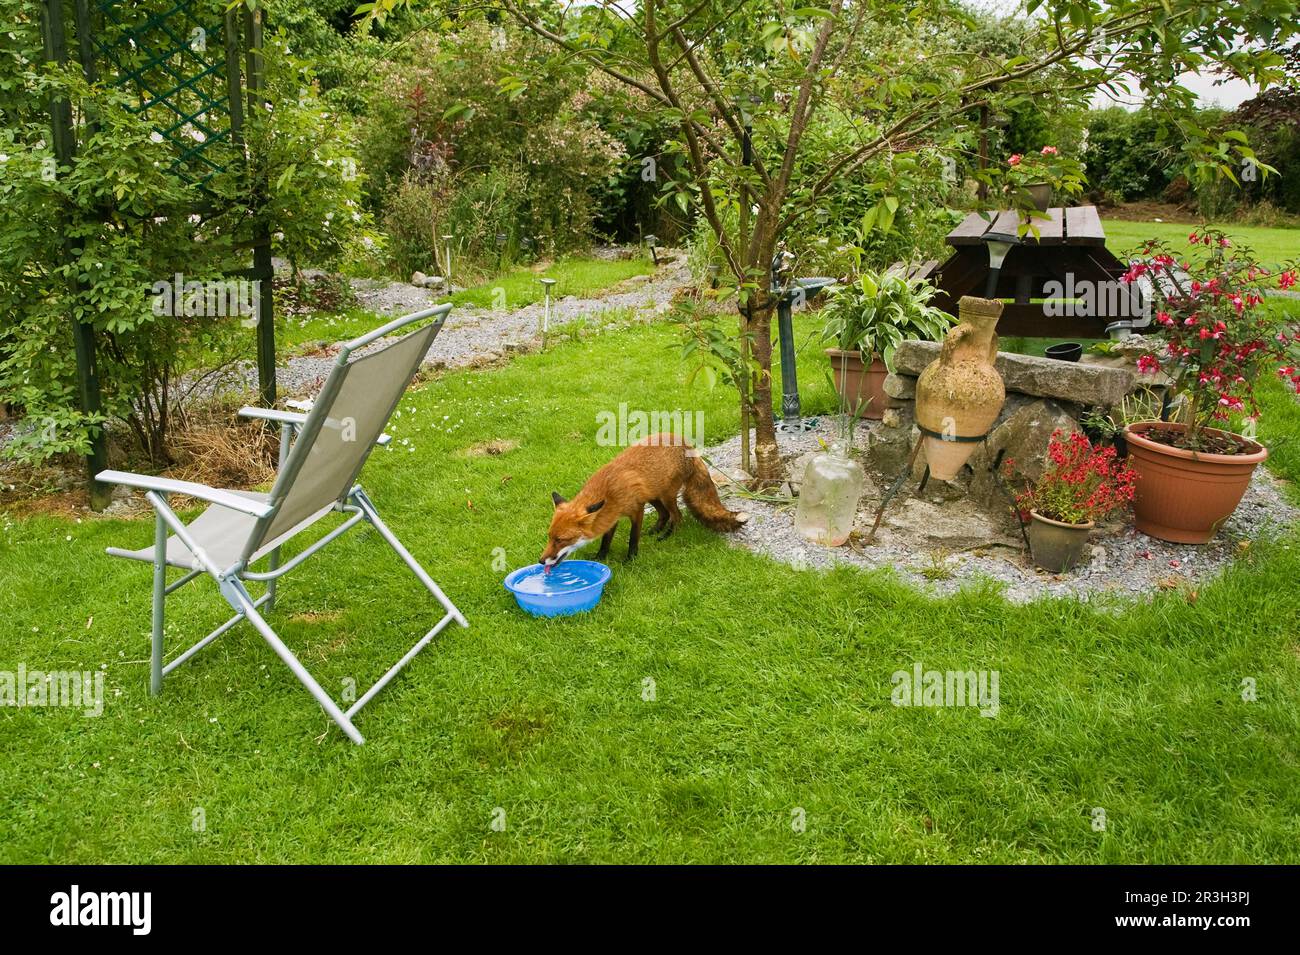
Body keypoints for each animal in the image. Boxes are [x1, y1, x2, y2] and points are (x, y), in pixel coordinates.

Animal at [541, 432, 748, 568]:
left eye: (561, 540)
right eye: (550, 537)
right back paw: (655, 530)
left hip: (666, 495)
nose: (541, 561)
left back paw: (666, 536)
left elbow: (633, 538)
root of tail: (689, 446)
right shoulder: (612, 516)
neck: (609, 490)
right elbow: (606, 541)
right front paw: (600, 557)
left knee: (677, 516)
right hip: (653, 495)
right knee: (664, 514)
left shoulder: (636, 510)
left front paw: (630, 560)